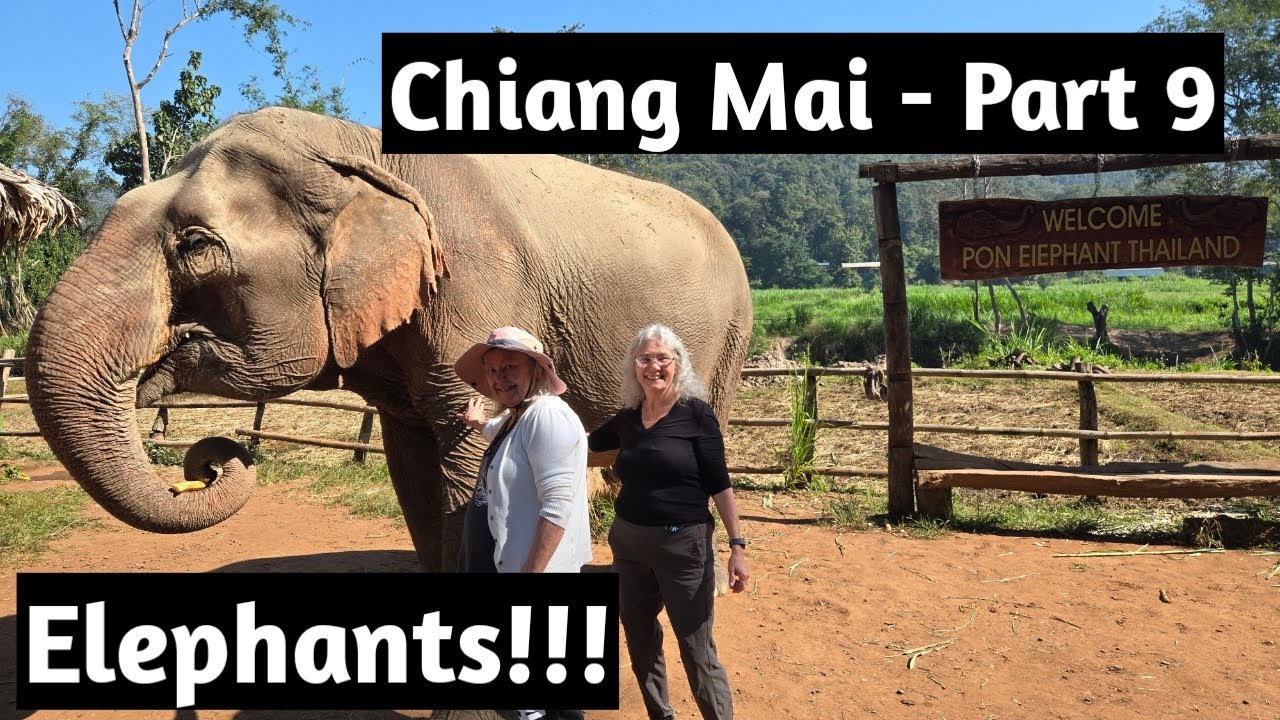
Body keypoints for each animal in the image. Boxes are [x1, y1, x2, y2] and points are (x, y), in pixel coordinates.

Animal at [25, 106, 754, 573]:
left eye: (196, 247)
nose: (207, 462)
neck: (364, 150)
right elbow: (413, 463)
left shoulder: (474, 282)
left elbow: (470, 452)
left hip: (729, 341)